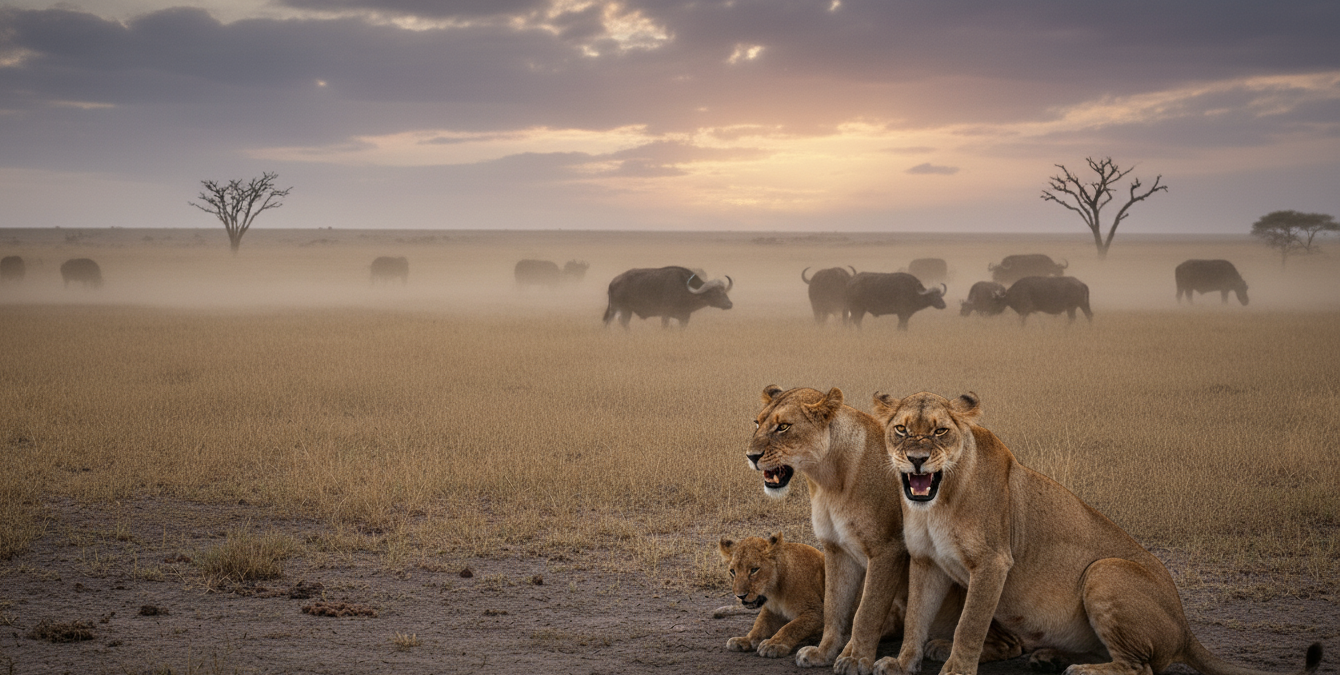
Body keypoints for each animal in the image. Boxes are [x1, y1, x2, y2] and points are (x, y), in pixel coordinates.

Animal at [749, 386, 1022, 674]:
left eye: (783, 427)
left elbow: (867, 612)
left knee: (1008, 641)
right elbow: (834, 607)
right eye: (757, 423)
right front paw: (823, 653)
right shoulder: (836, 549)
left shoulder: (887, 549)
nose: (751, 456)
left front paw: (856, 659)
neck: (828, 481)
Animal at [870, 391, 1323, 675]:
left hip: (1104, 570)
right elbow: (916, 620)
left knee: (1141, 668)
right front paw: (902, 663)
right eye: (902, 430)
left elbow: (969, 626)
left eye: (940, 431)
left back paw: (1080, 669)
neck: (937, 503)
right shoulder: (926, 562)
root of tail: (1186, 628)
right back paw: (1049, 657)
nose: (917, 459)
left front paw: (956, 670)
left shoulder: (993, 563)